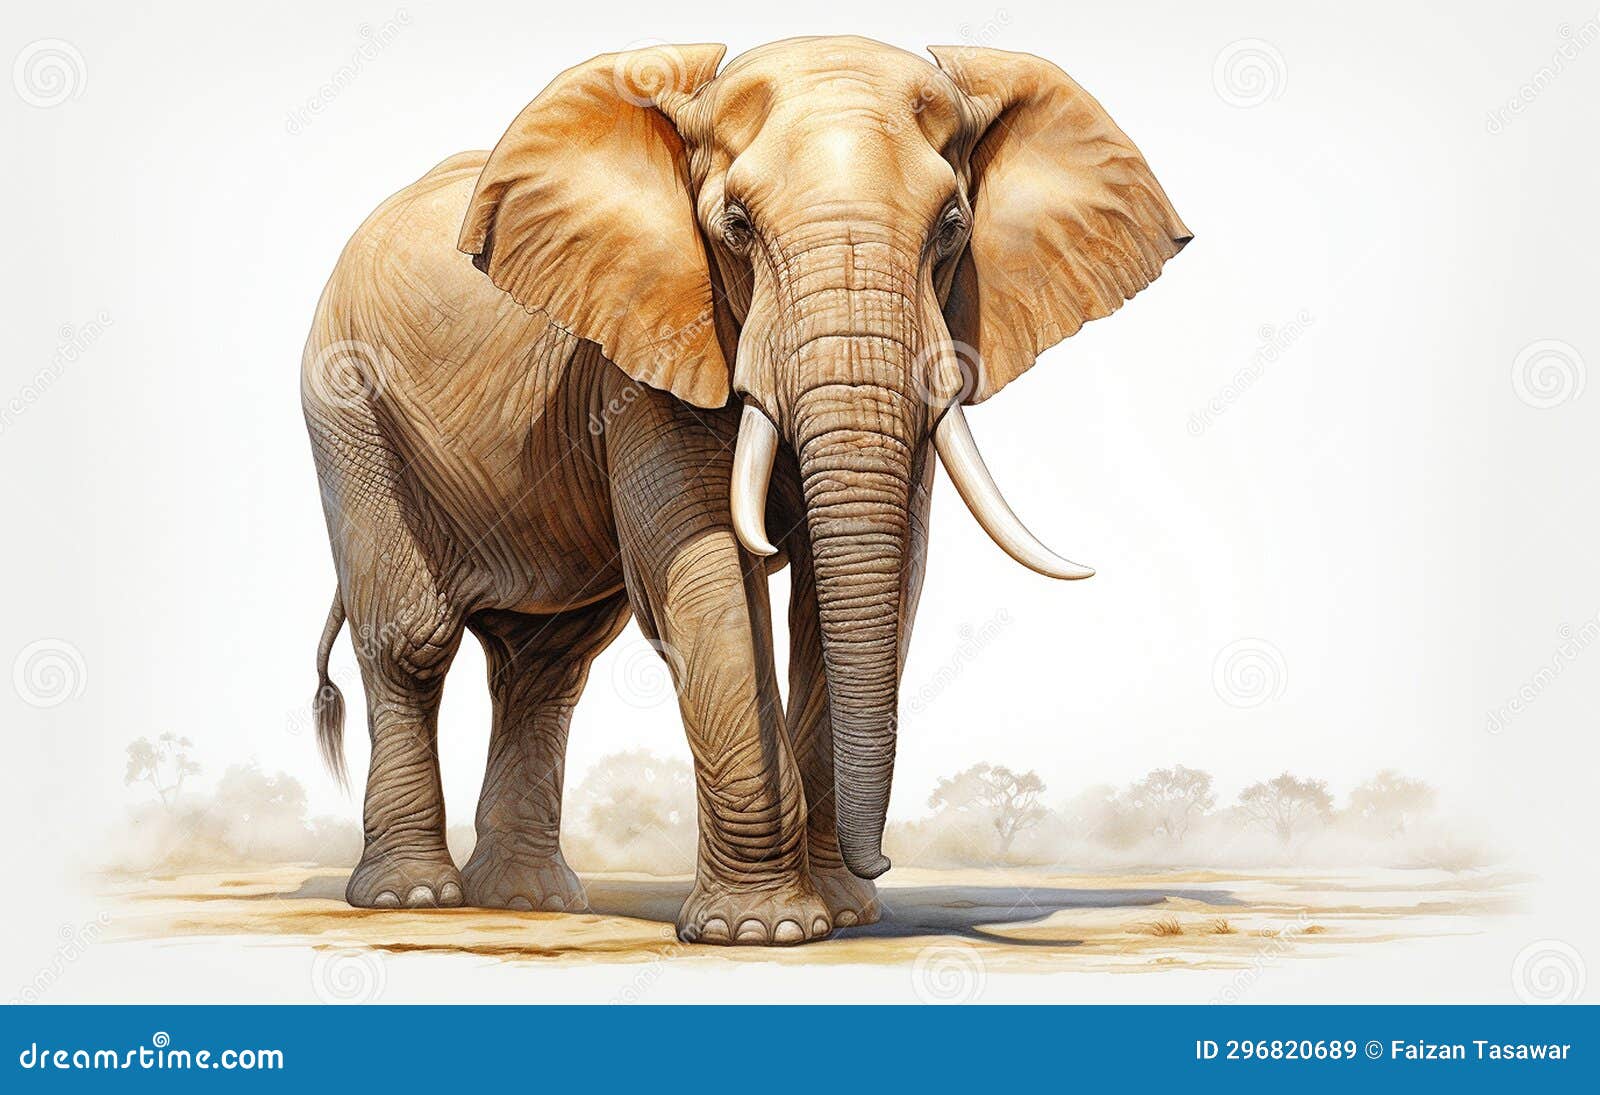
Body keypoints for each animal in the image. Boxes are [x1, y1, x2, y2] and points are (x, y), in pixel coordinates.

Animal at [302, 36, 1188, 945]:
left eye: (951, 227)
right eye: (736, 227)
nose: (884, 864)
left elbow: (869, 581)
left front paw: (839, 913)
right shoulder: (645, 349)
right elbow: (707, 578)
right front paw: (765, 931)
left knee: (548, 662)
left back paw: (526, 899)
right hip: (347, 403)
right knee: (412, 641)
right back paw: (413, 896)